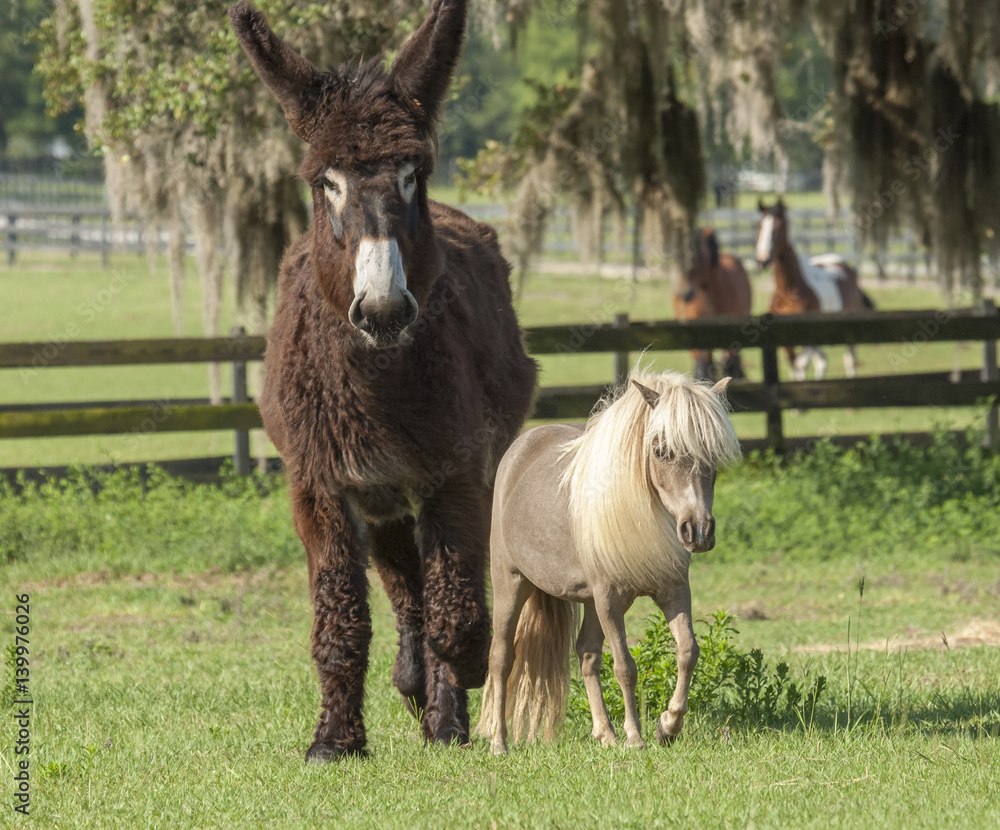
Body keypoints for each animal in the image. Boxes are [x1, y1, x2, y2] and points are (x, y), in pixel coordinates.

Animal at [229, 0, 537, 762]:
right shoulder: (319, 484)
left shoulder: (456, 473)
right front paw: (335, 741)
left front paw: (455, 698)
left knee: (434, 591)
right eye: (327, 182)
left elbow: (458, 608)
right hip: (382, 500)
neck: (375, 387)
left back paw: (438, 699)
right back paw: (411, 682)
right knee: (402, 587)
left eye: (410, 175)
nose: (384, 308)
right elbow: (341, 622)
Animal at [475, 370, 740, 754]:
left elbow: (688, 651)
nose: (699, 531)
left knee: (586, 656)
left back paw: (605, 733)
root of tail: (520, 448)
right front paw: (636, 737)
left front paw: (668, 725)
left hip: (589, 602)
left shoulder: (673, 591)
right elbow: (625, 667)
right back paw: (499, 742)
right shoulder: (609, 599)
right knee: (501, 658)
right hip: (511, 584)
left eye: (713, 454)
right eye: (660, 450)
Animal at [754, 199, 874, 380]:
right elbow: (794, 367)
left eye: (778, 227)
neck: (789, 291)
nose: (762, 260)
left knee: (849, 361)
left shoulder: (807, 338)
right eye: (759, 225)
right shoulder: (785, 340)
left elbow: (801, 366)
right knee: (822, 361)